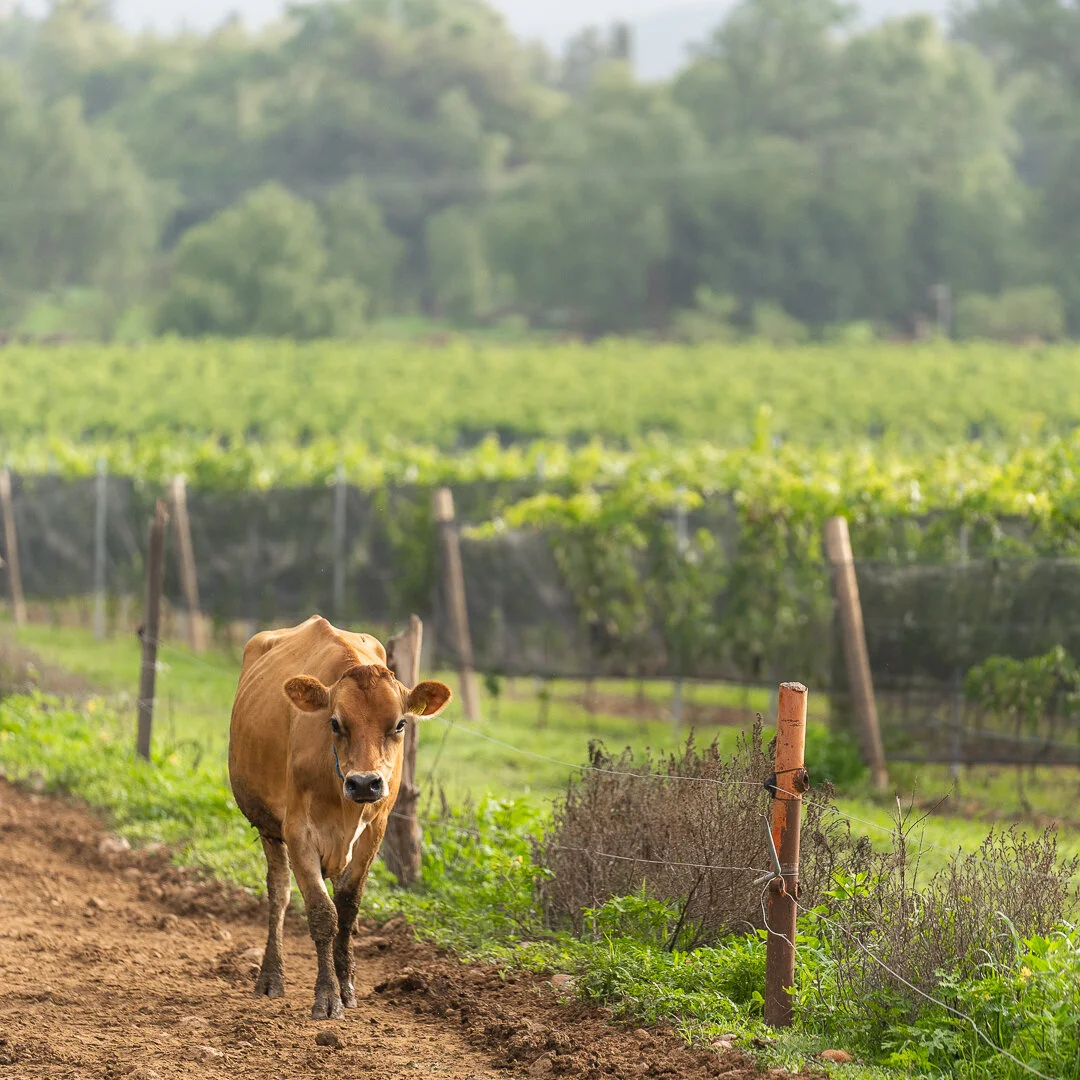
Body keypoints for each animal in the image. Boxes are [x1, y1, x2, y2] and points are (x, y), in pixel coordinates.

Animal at [228, 615, 452, 1019]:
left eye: (400, 724)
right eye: (334, 722)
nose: (364, 782)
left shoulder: (374, 830)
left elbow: (347, 906)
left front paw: (346, 985)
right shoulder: (297, 831)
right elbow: (321, 913)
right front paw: (327, 994)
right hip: (268, 827)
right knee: (279, 893)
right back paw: (271, 977)